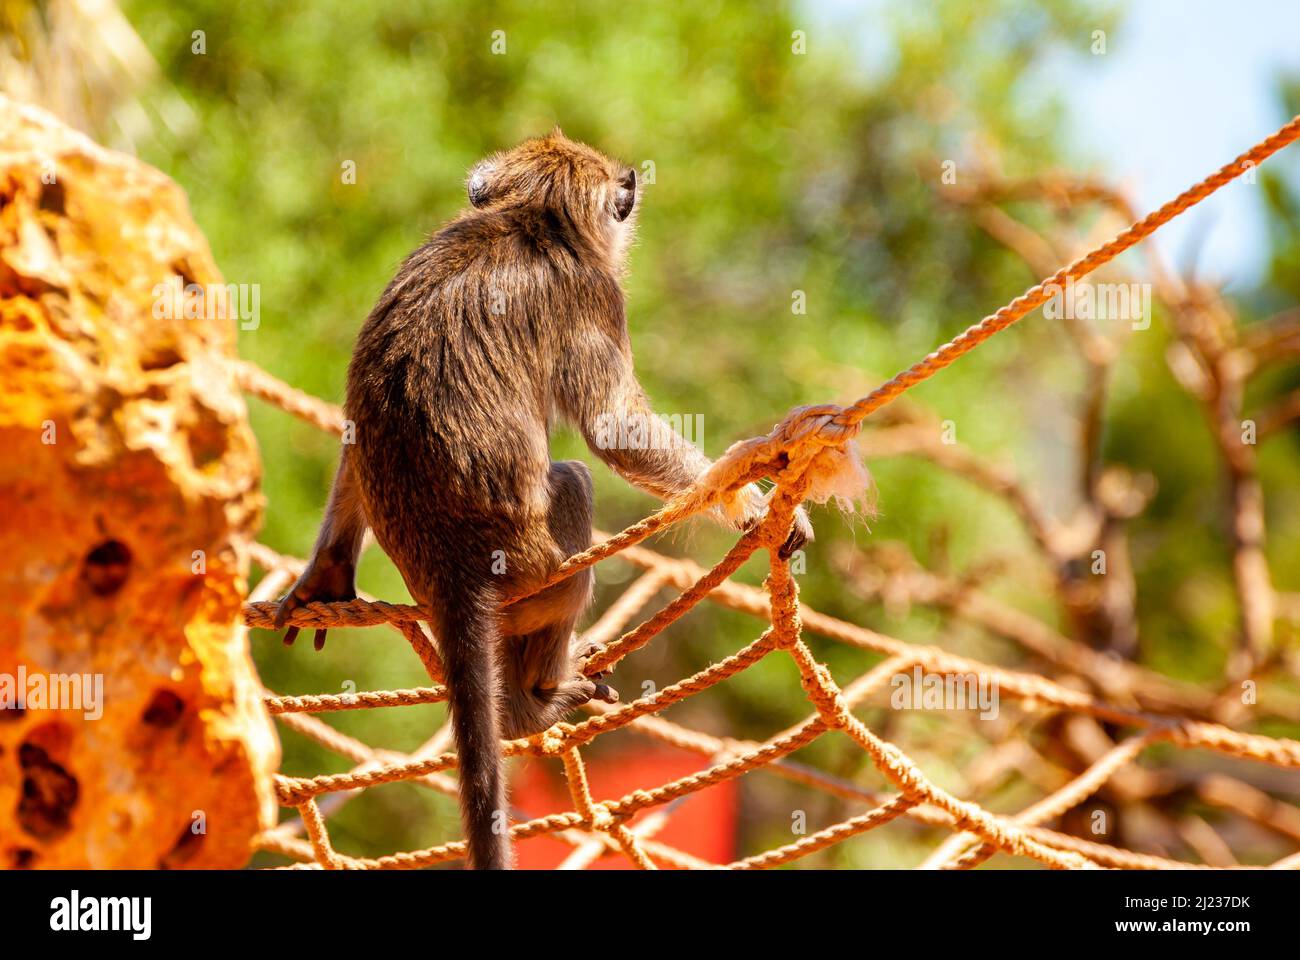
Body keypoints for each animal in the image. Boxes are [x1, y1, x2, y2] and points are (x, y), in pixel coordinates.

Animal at [273, 129, 813, 869]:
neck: (531, 219)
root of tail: (451, 570)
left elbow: (355, 429)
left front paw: (325, 574)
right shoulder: (594, 294)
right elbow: (614, 431)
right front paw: (750, 506)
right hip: (532, 565)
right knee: (575, 486)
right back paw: (535, 702)